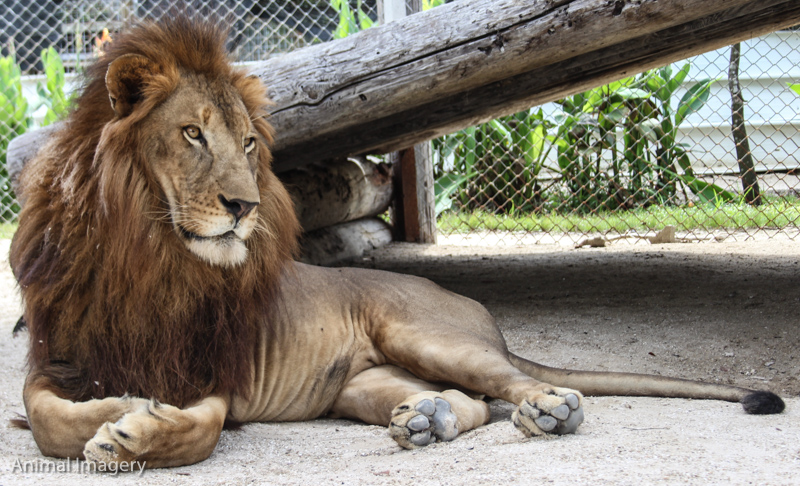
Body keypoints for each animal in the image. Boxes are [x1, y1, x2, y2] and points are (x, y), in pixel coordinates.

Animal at [9, 19, 784, 470]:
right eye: (192, 133)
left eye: (250, 143)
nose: (246, 207)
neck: (144, 255)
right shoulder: (57, 361)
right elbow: (46, 419)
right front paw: (114, 409)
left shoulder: (214, 380)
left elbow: (190, 428)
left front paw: (132, 428)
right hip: (365, 383)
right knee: (465, 401)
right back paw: (427, 421)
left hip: (423, 334)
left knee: (510, 386)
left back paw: (549, 410)